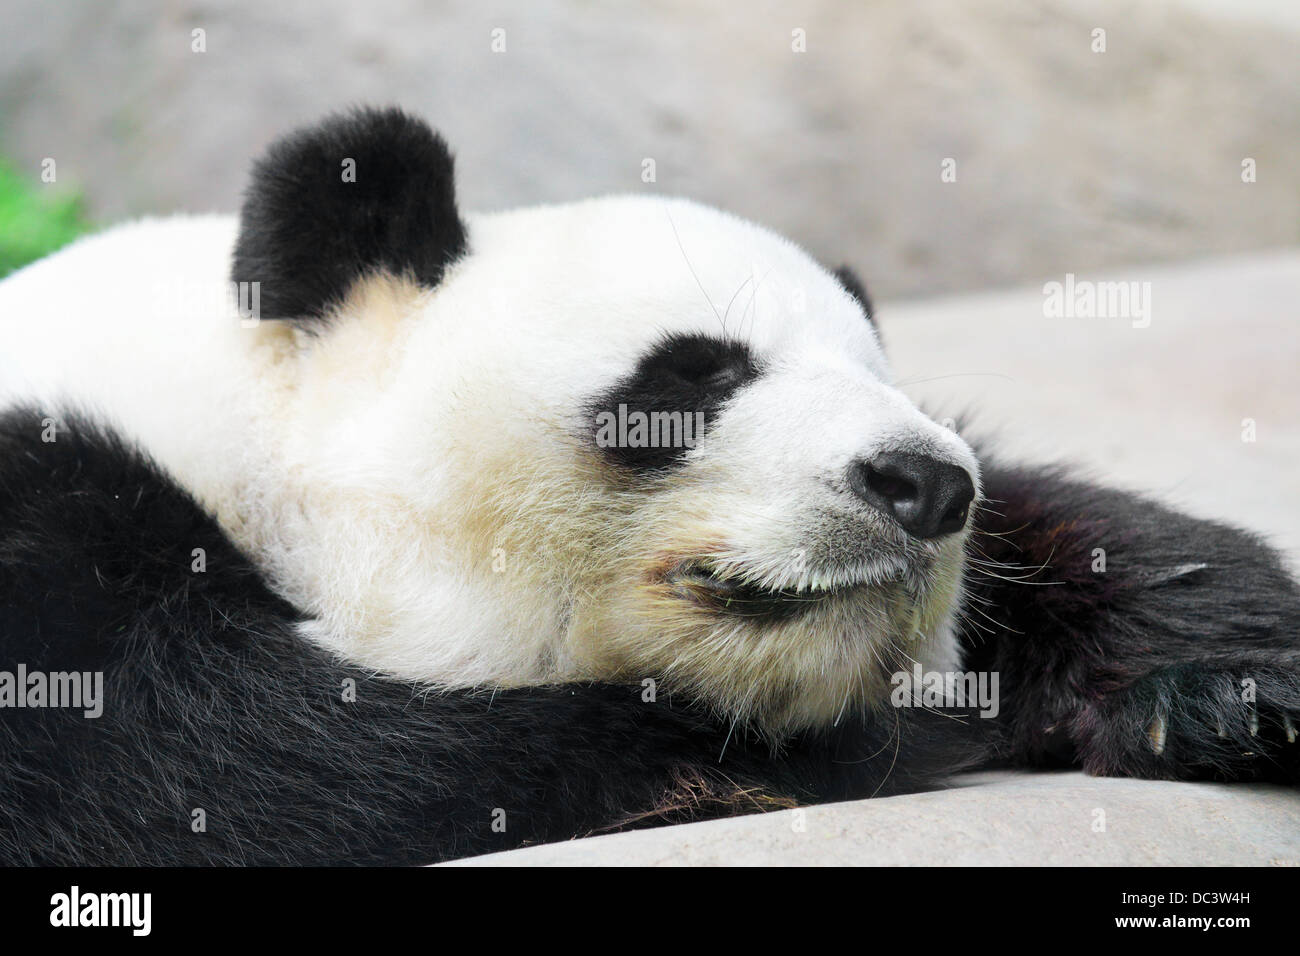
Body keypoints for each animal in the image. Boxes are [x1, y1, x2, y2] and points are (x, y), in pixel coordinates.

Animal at [1, 107, 1297, 866]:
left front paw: (1228, 691)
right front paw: (862, 741)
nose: (923, 486)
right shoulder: (43, 519)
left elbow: (1066, 531)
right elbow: (205, 764)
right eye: (695, 373)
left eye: (876, 375)